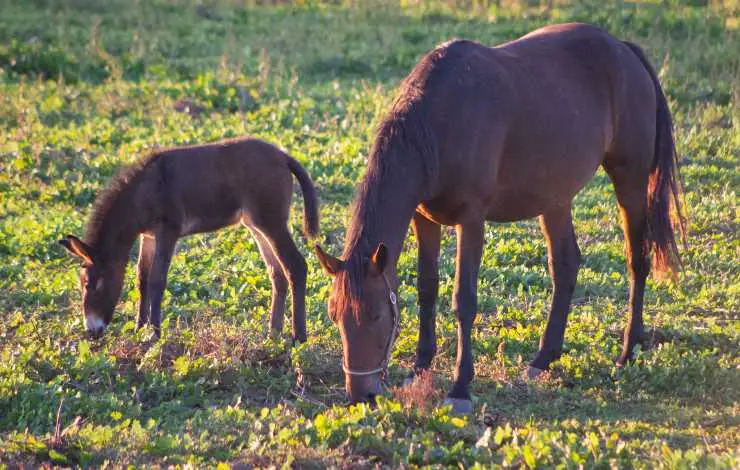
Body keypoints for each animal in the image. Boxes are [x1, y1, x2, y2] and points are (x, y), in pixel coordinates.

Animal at [59, 137, 319, 342]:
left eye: (90, 284)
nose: (91, 332)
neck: (143, 193)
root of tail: (283, 156)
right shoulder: (148, 236)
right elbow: (142, 278)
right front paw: (139, 329)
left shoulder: (168, 230)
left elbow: (156, 280)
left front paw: (154, 335)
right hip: (256, 226)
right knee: (277, 273)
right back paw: (273, 335)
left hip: (270, 222)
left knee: (296, 266)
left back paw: (298, 337)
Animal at [314, 23, 685, 413]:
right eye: (335, 315)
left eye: (375, 315)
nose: (361, 395)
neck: (438, 122)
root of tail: (623, 49)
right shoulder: (424, 219)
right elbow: (427, 289)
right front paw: (419, 368)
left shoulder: (471, 220)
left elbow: (463, 300)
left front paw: (460, 387)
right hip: (555, 199)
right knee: (566, 265)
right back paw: (543, 358)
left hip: (630, 180)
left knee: (637, 260)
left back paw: (628, 351)